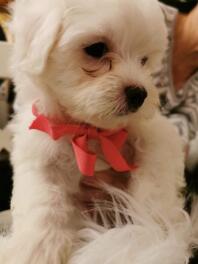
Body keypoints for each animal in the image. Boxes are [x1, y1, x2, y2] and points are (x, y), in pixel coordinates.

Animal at [0, 0, 190, 262]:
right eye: (97, 49)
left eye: (143, 60)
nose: (139, 94)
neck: (90, 129)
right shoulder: (41, 151)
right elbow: (43, 200)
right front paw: (36, 249)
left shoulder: (158, 136)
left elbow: (155, 184)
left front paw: (153, 232)